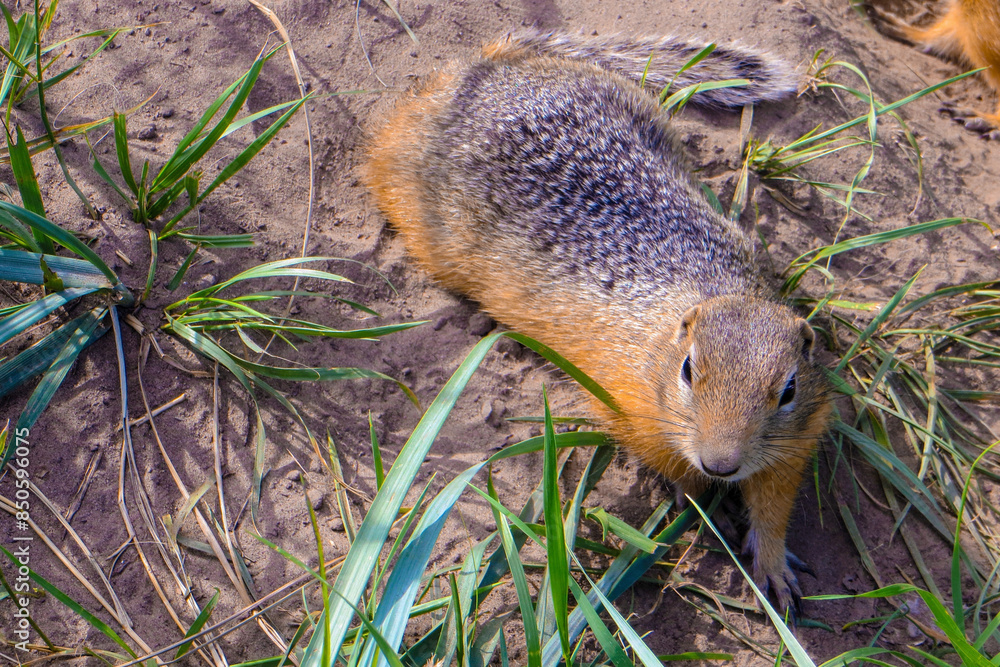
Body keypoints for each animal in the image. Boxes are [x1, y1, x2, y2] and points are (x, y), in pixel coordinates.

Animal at [364, 30, 832, 611]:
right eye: (688, 371)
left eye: (788, 390)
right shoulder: (630, 406)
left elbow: (774, 501)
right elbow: (669, 463)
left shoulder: (798, 436)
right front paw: (699, 499)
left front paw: (773, 565)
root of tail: (474, 69)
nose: (721, 464)